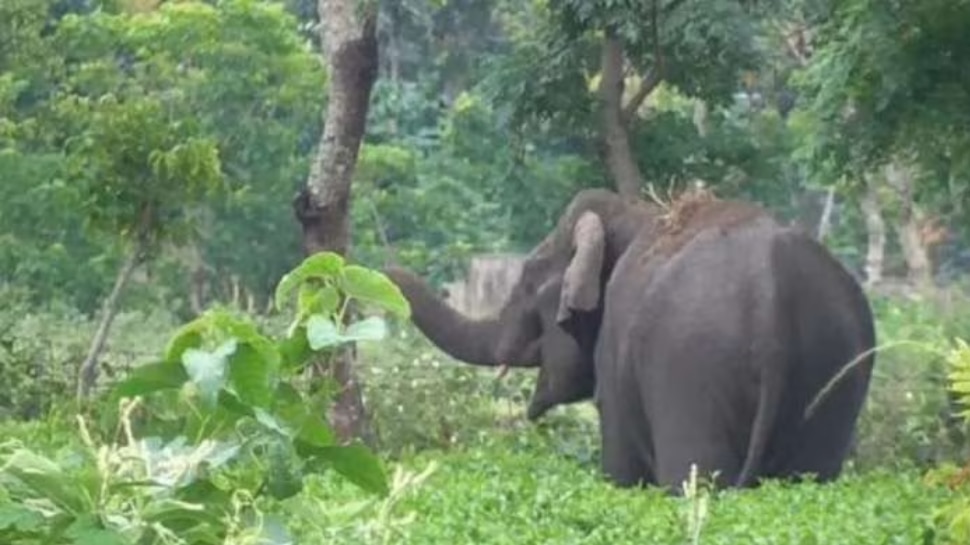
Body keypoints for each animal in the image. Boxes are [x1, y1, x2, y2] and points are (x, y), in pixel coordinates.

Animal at [384, 188, 876, 491]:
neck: (637, 211)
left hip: (691, 370)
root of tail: (774, 299)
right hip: (835, 375)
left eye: (528, 282)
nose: (383, 268)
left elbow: (619, 464)